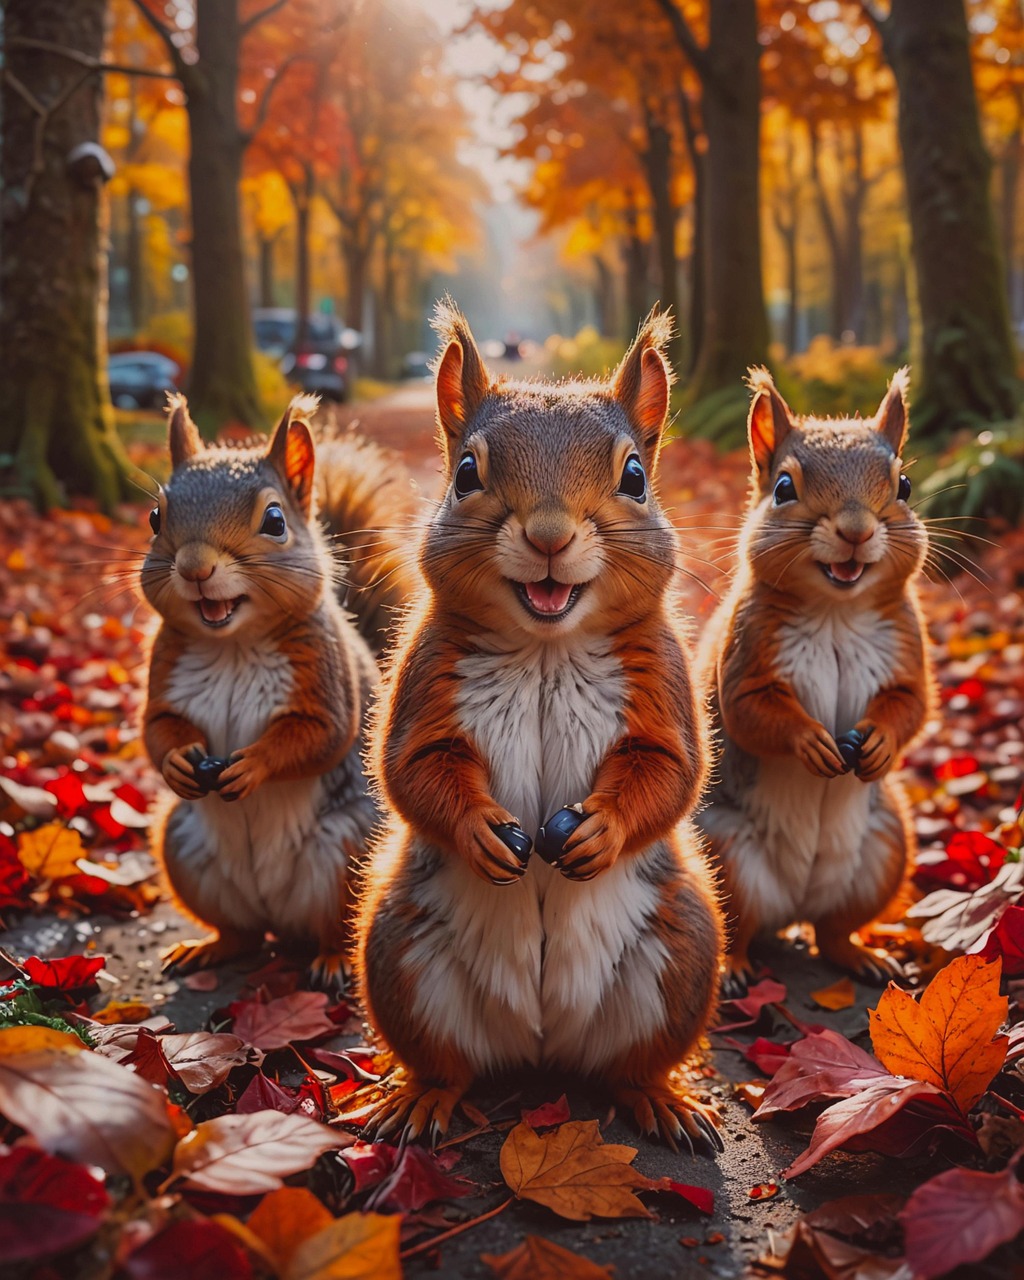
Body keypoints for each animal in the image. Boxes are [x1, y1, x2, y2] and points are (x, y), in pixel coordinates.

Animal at [140, 394, 414, 987]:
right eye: (154, 518)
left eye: (274, 521)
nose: (194, 568)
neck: (234, 645)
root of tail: (279, 919)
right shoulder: (165, 667)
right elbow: (156, 727)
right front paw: (176, 762)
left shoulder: (323, 674)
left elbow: (321, 733)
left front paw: (254, 765)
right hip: (183, 851)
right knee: (240, 933)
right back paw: (209, 947)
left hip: (345, 853)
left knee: (335, 925)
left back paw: (333, 960)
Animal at [351, 303, 724, 1152]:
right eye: (465, 473)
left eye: (634, 476)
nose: (549, 536)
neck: (549, 646)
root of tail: (543, 1045)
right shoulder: (427, 675)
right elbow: (410, 767)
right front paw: (481, 830)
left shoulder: (663, 681)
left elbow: (672, 770)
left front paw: (603, 831)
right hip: (397, 952)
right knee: (446, 1063)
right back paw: (420, 1097)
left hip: (683, 953)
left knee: (631, 1065)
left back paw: (662, 1099)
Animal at [696, 369, 931, 993]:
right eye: (783, 487)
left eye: (903, 485)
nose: (855, 530)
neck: (836, 612)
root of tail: (793, 909)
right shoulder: (746, 653)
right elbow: (749, 711)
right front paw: (812, 744)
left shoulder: (906, 647)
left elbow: (912, 705)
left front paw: (878, 742)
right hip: (724, 853)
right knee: (737, 926)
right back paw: (735, 968)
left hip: (886, 850)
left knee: (833, 932)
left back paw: (862, 957)